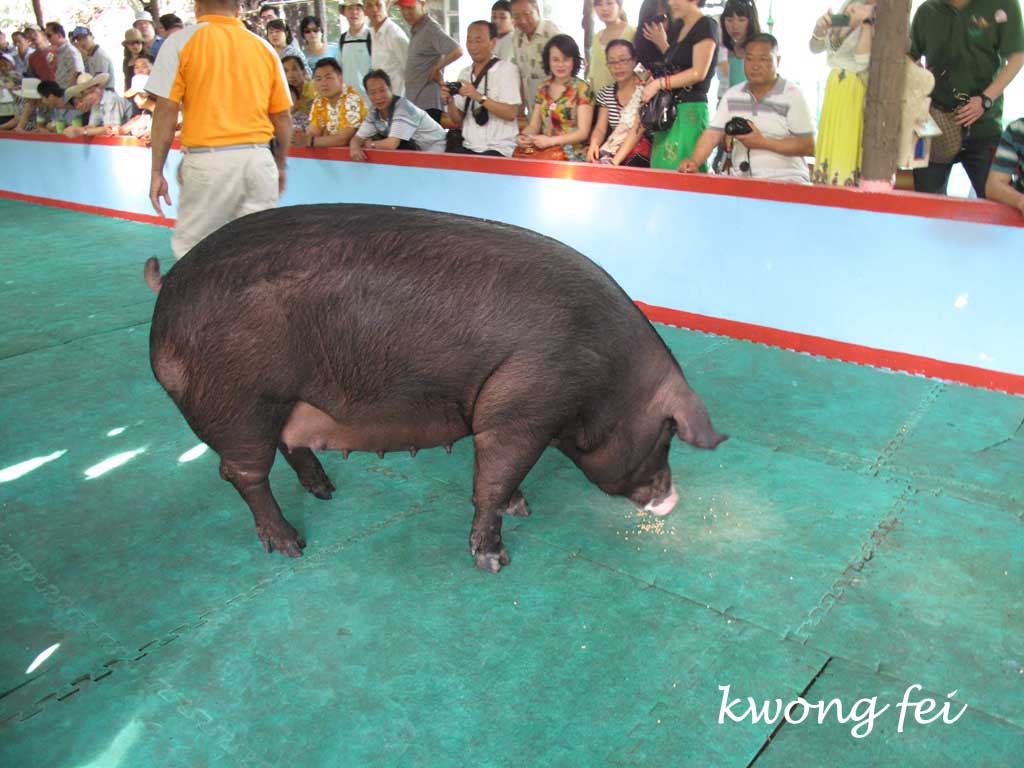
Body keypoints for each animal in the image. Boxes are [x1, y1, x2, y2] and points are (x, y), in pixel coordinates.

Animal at [144, 204, 726, 572]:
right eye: (666, 437)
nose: (671, 499)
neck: (605, 376)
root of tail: (168, 288)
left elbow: (505, 477)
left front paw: (522, 509)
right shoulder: (519, 410)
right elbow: (492, 478)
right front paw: (494, 561)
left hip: (280, 405)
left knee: (289, 448)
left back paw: (327, 491)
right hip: (239, 403)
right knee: (241, 473)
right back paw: (291, 546)